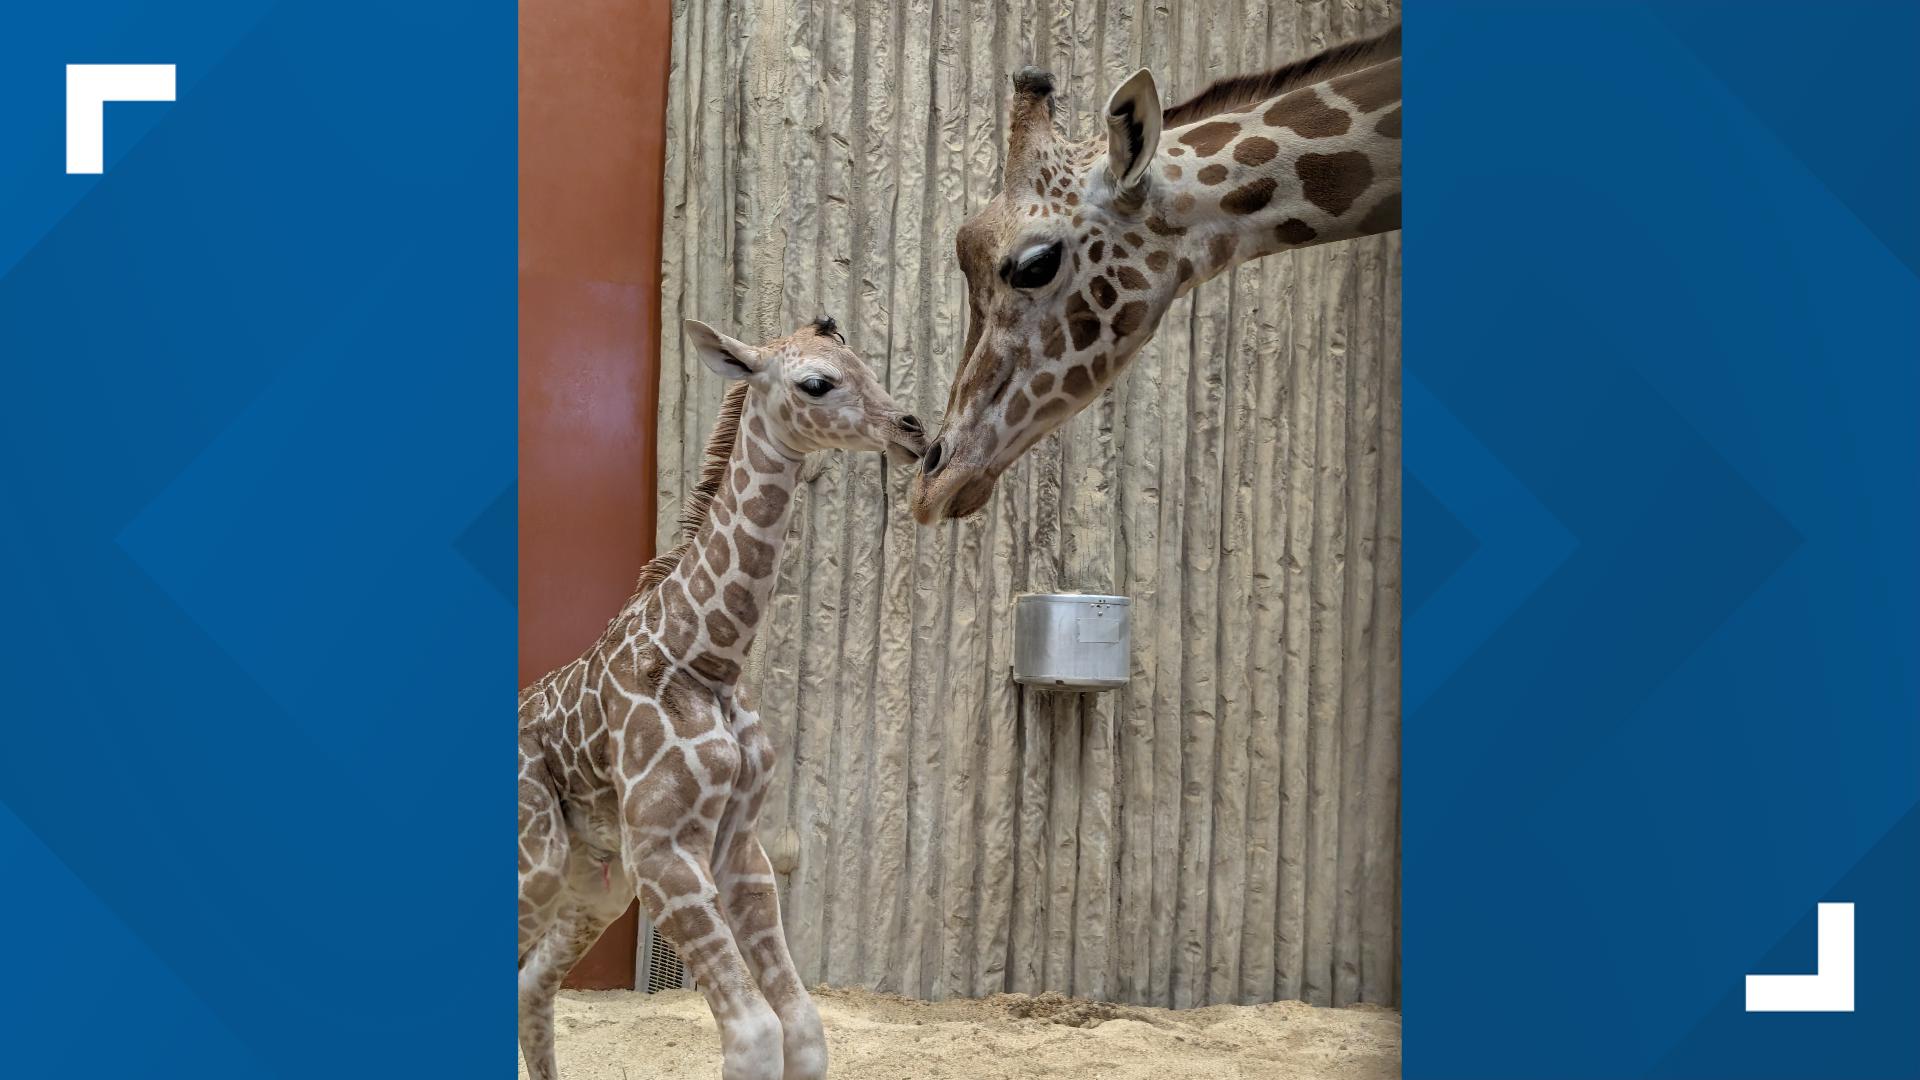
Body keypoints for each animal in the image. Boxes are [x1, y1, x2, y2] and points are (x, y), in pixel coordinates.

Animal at [518, 316, 927, 1080]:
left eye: (863, 361)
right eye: (817, 382)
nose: (912, 431)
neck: (708, 658)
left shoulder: (738, 851)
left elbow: (802, 1024)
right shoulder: (664, 850)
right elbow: (753, 1035)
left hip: (594, 882)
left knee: (531, 982)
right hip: (540, 862)